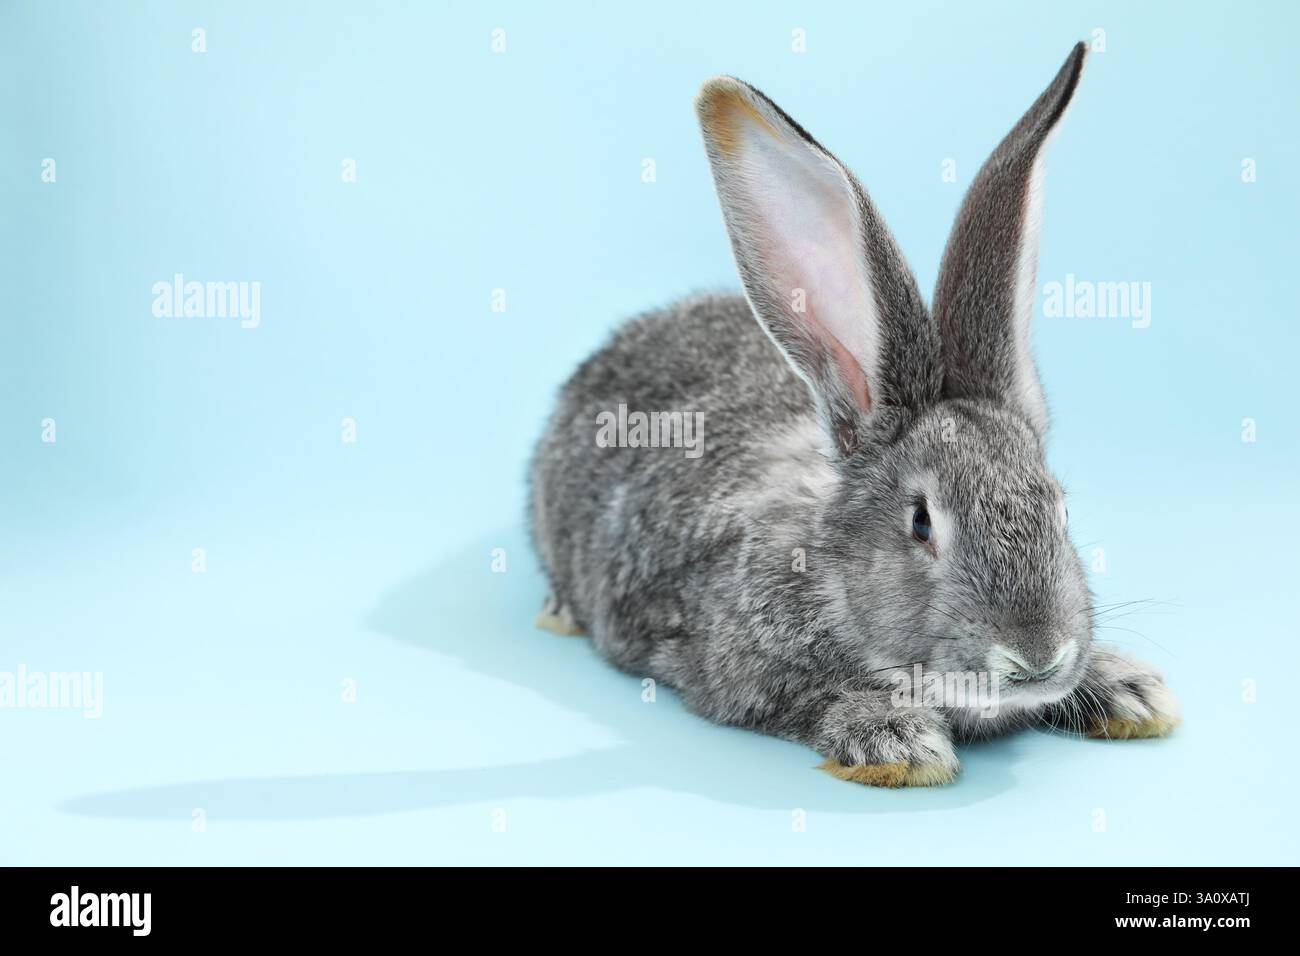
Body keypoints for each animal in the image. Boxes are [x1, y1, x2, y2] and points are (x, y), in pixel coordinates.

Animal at [528, 42, 1179, 787]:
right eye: (921, 523)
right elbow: (815, 698)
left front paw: (1128, 690)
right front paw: (896, 742)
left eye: (1062, 511)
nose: (1036, 658)